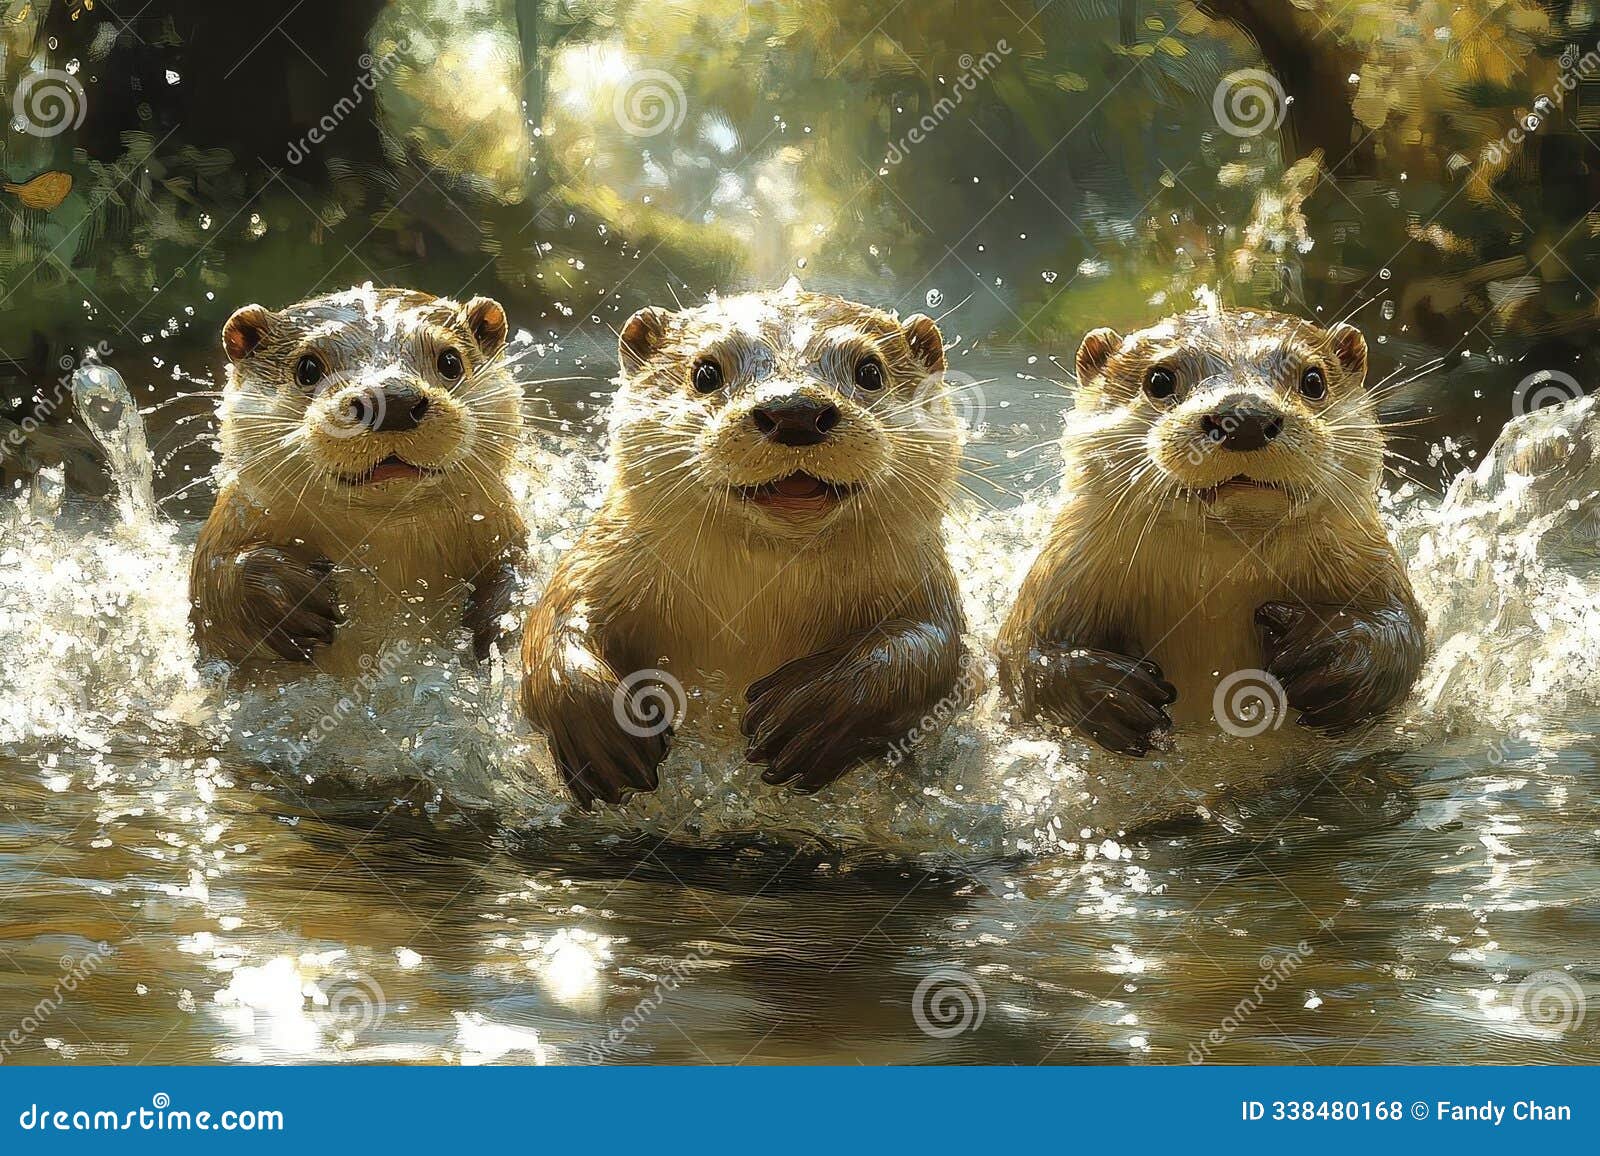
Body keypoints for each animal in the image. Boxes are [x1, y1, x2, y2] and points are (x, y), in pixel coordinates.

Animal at [191, 284, 526, 674]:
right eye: (307, 368)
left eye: (450, 361)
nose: (393, 399)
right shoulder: (231, 523)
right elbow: (214, 588)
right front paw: (287, 601)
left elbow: (523, 572)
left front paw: (502, 618)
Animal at [520, 283, 967, 807]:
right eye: (706, 372)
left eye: (870, 371)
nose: (795, 411)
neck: (759, 611)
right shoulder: (598, 559)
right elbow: (551, 625)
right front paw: (601, 728)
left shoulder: (925, 579)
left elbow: (931, 648)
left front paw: (811, 714)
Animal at [999, 307, 1425, 755]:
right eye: (1159, 380)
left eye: (1313, 380)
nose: (1246, 417)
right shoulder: (1059, 573)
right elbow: (1022, 655)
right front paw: (1108, 691)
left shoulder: (1372, 561)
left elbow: (1404, 631)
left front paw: (1333, 656)